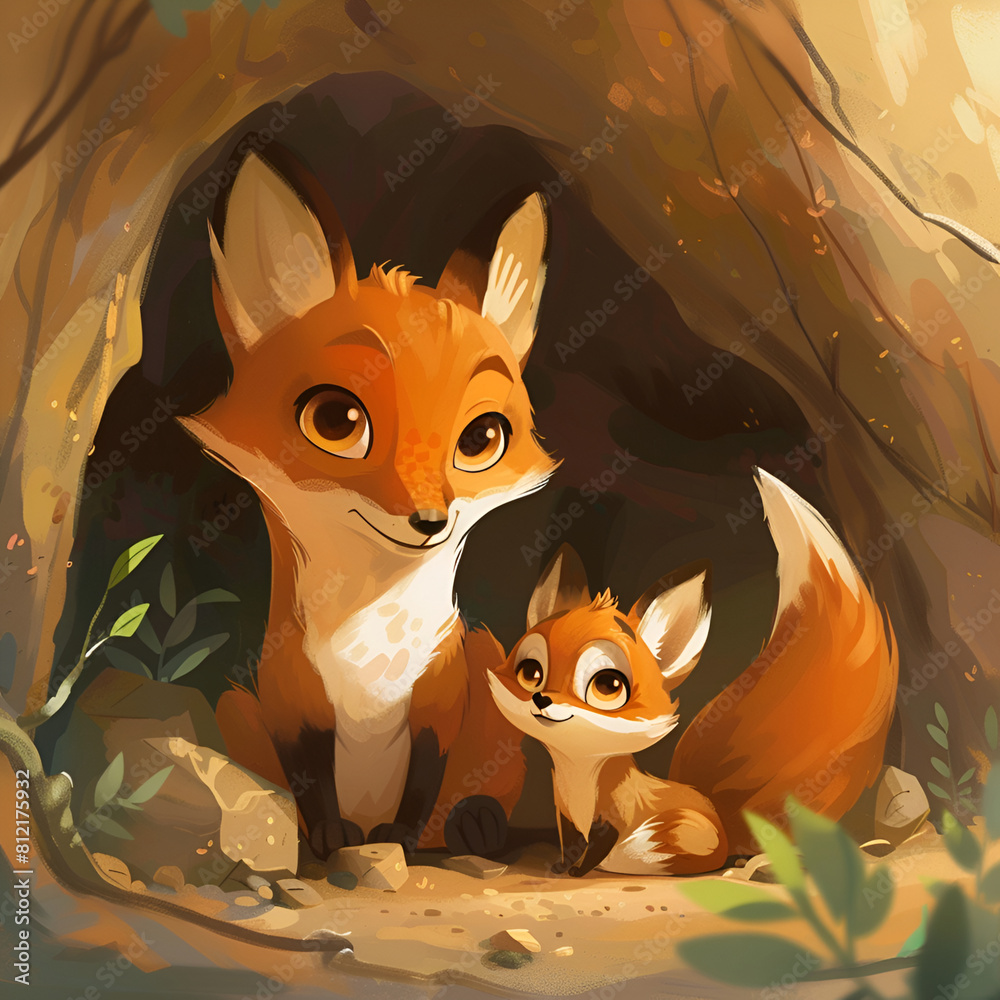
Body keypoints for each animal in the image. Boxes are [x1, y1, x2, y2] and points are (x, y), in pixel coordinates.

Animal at [177, 148, 556, 859]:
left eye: (481, 439)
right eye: (336, 420)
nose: (429, 519)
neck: (373, 656)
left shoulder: (440, 699)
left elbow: (422, 790)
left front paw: (397, 840)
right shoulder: (291, 701)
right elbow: (312, 787)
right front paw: (333, 839)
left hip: (488, 668)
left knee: (472, 797)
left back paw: (476, 823)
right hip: (236, 711)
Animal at [488, 470, 898, 876]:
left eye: (607, 685)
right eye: (530, 673)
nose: (542, 699)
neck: (579, 780)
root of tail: (725, 826)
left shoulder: (614, 819)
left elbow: (597, 848)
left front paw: (577, 871)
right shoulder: (565, 818)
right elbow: (570, 845)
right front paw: (560, 868)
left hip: (676, 834)